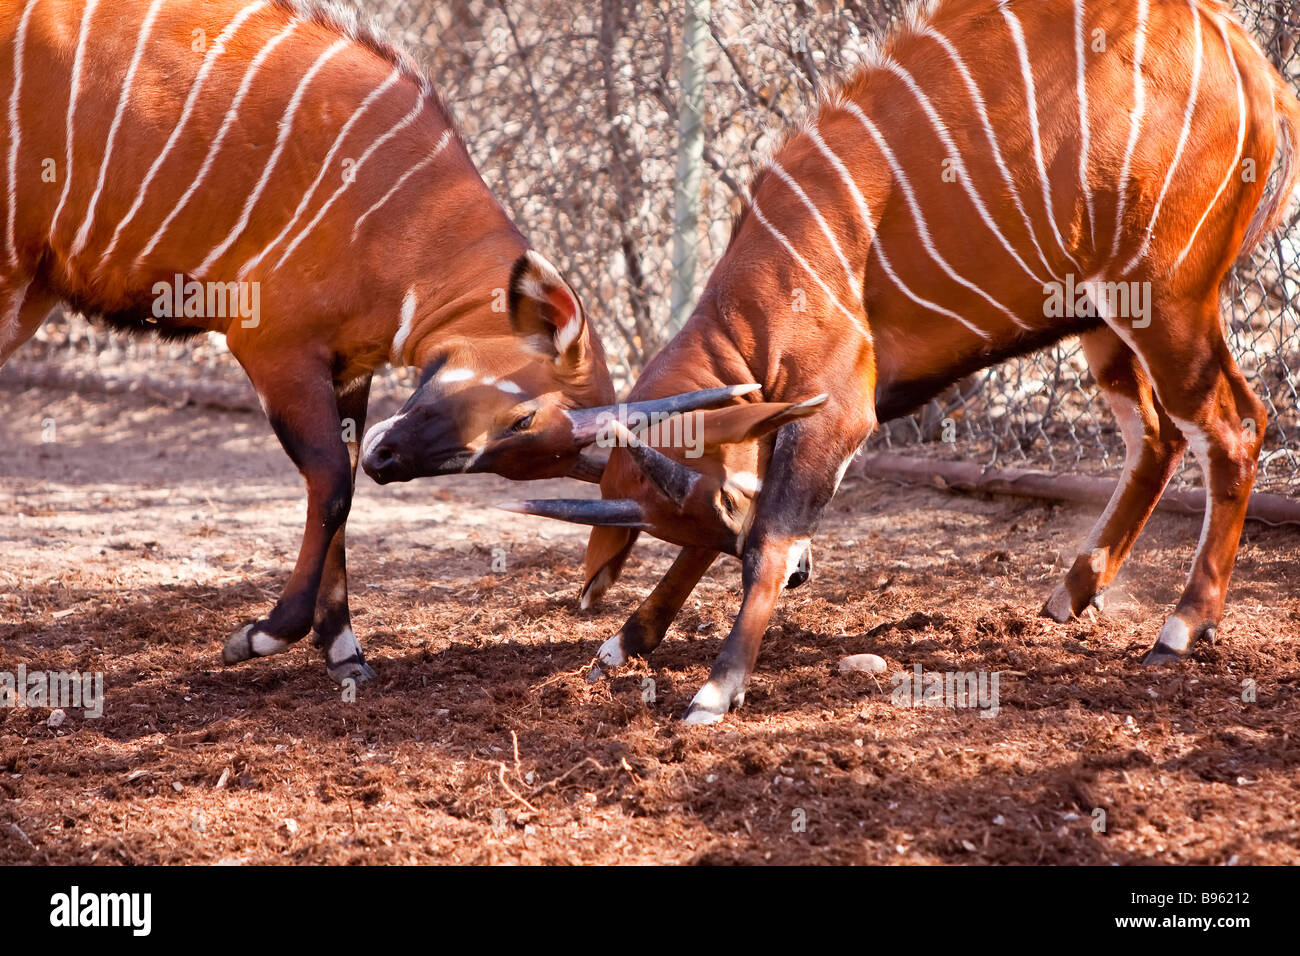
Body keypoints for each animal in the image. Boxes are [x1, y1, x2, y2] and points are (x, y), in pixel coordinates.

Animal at [0, 0, 730, 683]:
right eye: (524, 418)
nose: (390, 460)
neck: (398, 213)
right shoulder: (275, 349)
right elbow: (331, 483)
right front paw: (265, 634)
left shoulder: (347, 368)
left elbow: (338, 486)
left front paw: (344, 650)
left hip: (29, 292)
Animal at [505, 0, 1300, 723]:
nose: (806, 577)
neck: (766, 283)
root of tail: (1255, 69)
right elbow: (729, 535)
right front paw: (626, 639)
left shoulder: (837, 412)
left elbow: (768, 535)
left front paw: (714, 690)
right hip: (1106, 318)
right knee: (1158, 438)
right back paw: (1072, 594)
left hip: (1164, 297)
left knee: (1233, 425)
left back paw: (1182, 627)